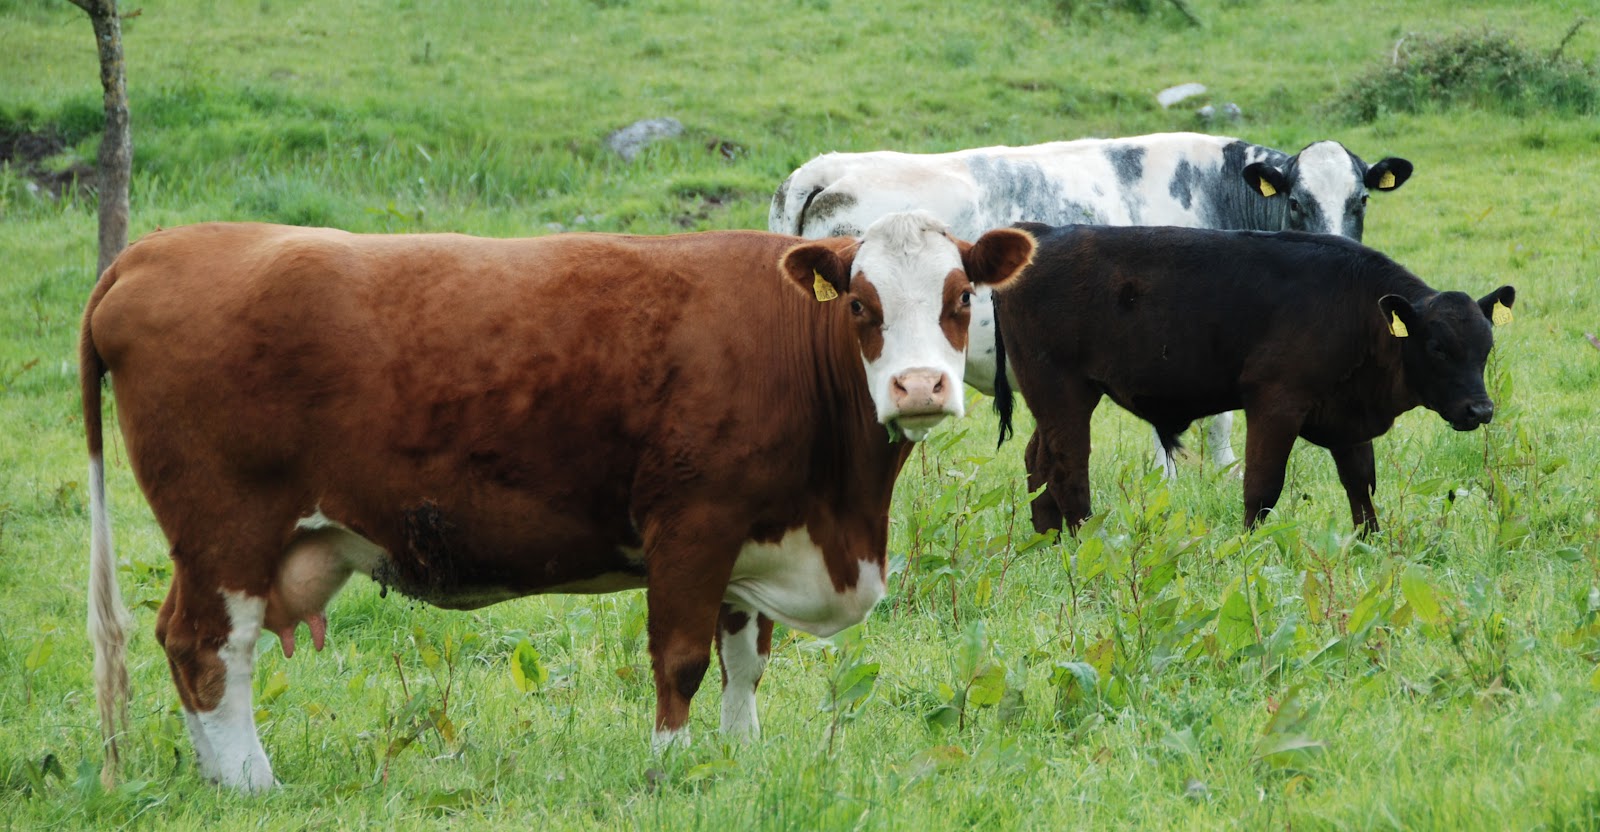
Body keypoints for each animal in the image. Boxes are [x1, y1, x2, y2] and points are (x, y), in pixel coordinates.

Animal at [80, 214, 1036, 791]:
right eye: (865, 308)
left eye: (960, 299)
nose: (921, 387)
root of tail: (155, 249)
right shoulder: (690, 524)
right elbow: (681, 659)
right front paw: (669, 772)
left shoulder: (752, 536)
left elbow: (745, 659)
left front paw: (741, 758)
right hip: (227, 528)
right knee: (208, 646)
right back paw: (254, 783)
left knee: (187, 644)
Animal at [990, 223, 1514, 535]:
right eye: (1438, 348)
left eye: (1486, 348)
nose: (1480, 409)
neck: (1357, 308)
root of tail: (1046, 234)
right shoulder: (1275, 402)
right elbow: (1262, 486)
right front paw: (1247, 548)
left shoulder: (1347, 418)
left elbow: (1361, 484)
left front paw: (1370, 542)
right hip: (1062, 390)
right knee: (1067, 468)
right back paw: (1086, 541)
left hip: (1054, 396)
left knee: (1038, 460)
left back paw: (1049, 540)